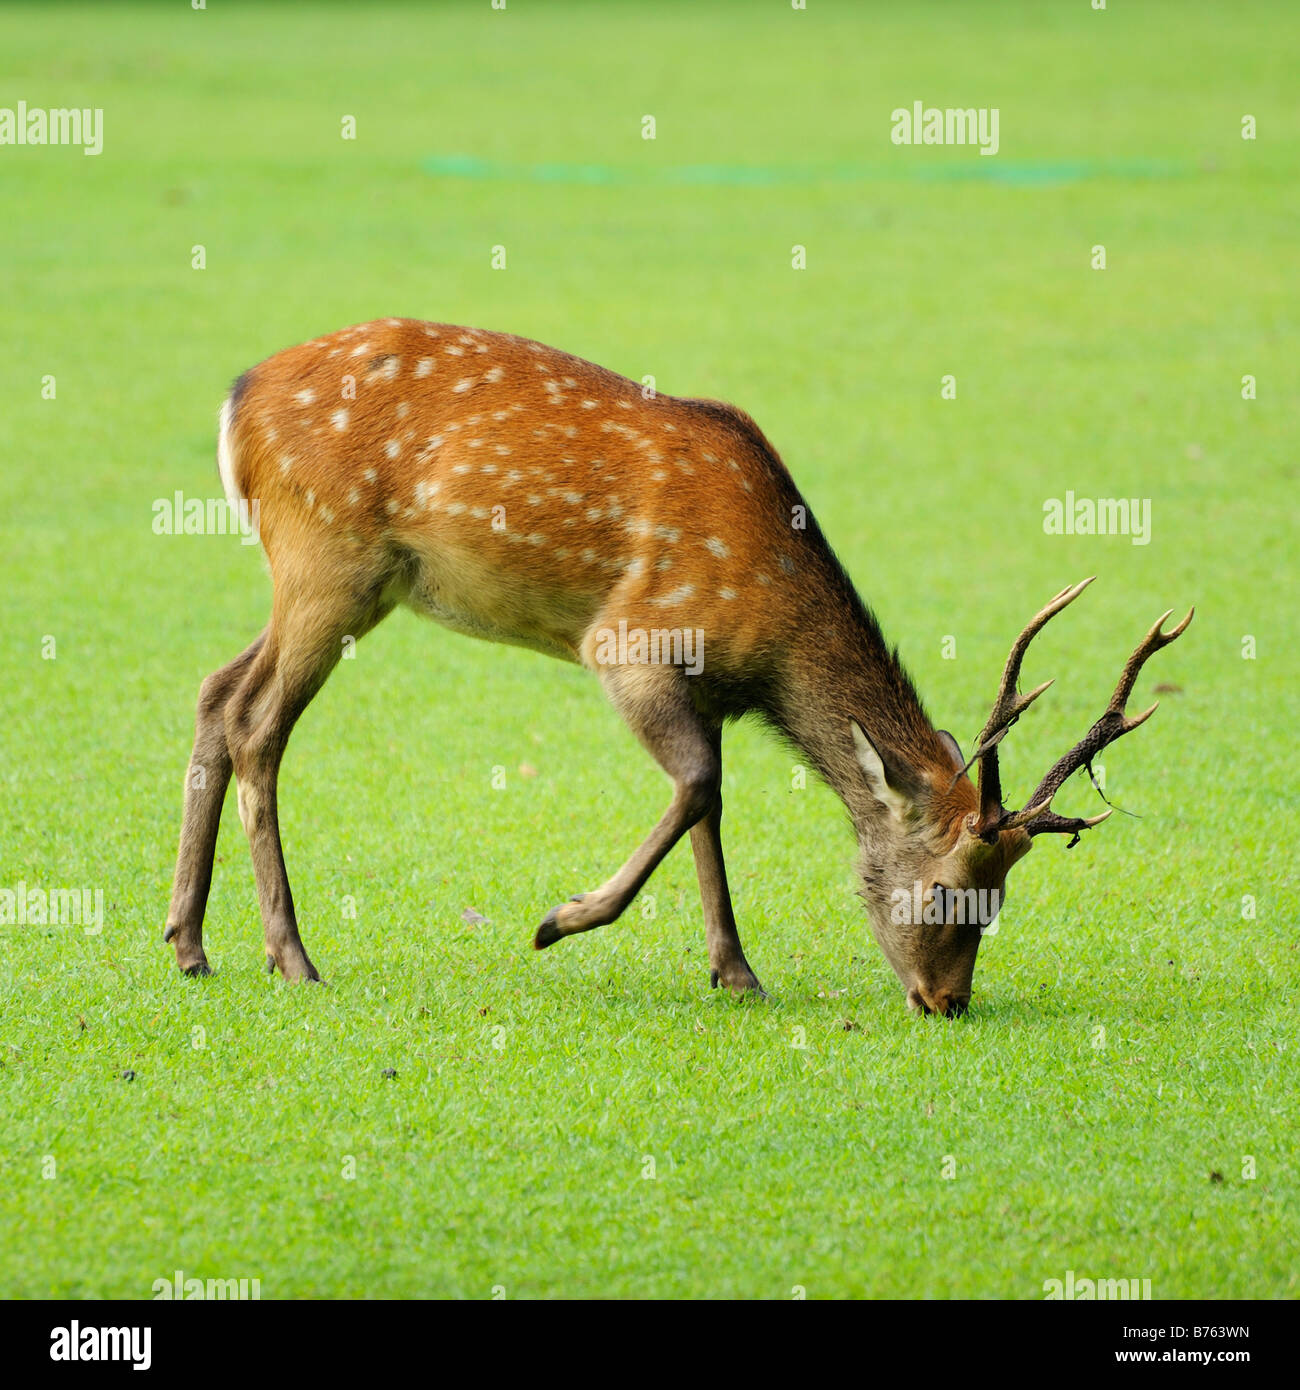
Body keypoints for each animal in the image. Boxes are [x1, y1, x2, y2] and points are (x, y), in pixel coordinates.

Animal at [164, 318, 1192, 1015]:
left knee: (216, 691)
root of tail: (234, 403)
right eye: (950, 891)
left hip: (338, 581)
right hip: (326, 556)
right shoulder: (631, 643)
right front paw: (560, 920)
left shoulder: (707, 689)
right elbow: (698, 785)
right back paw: (291, 955)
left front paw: (735, 970)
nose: (947, 1001)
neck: (769, 628)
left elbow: (712, 804)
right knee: (257, 719)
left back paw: (188, 942)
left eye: (1005, 894)